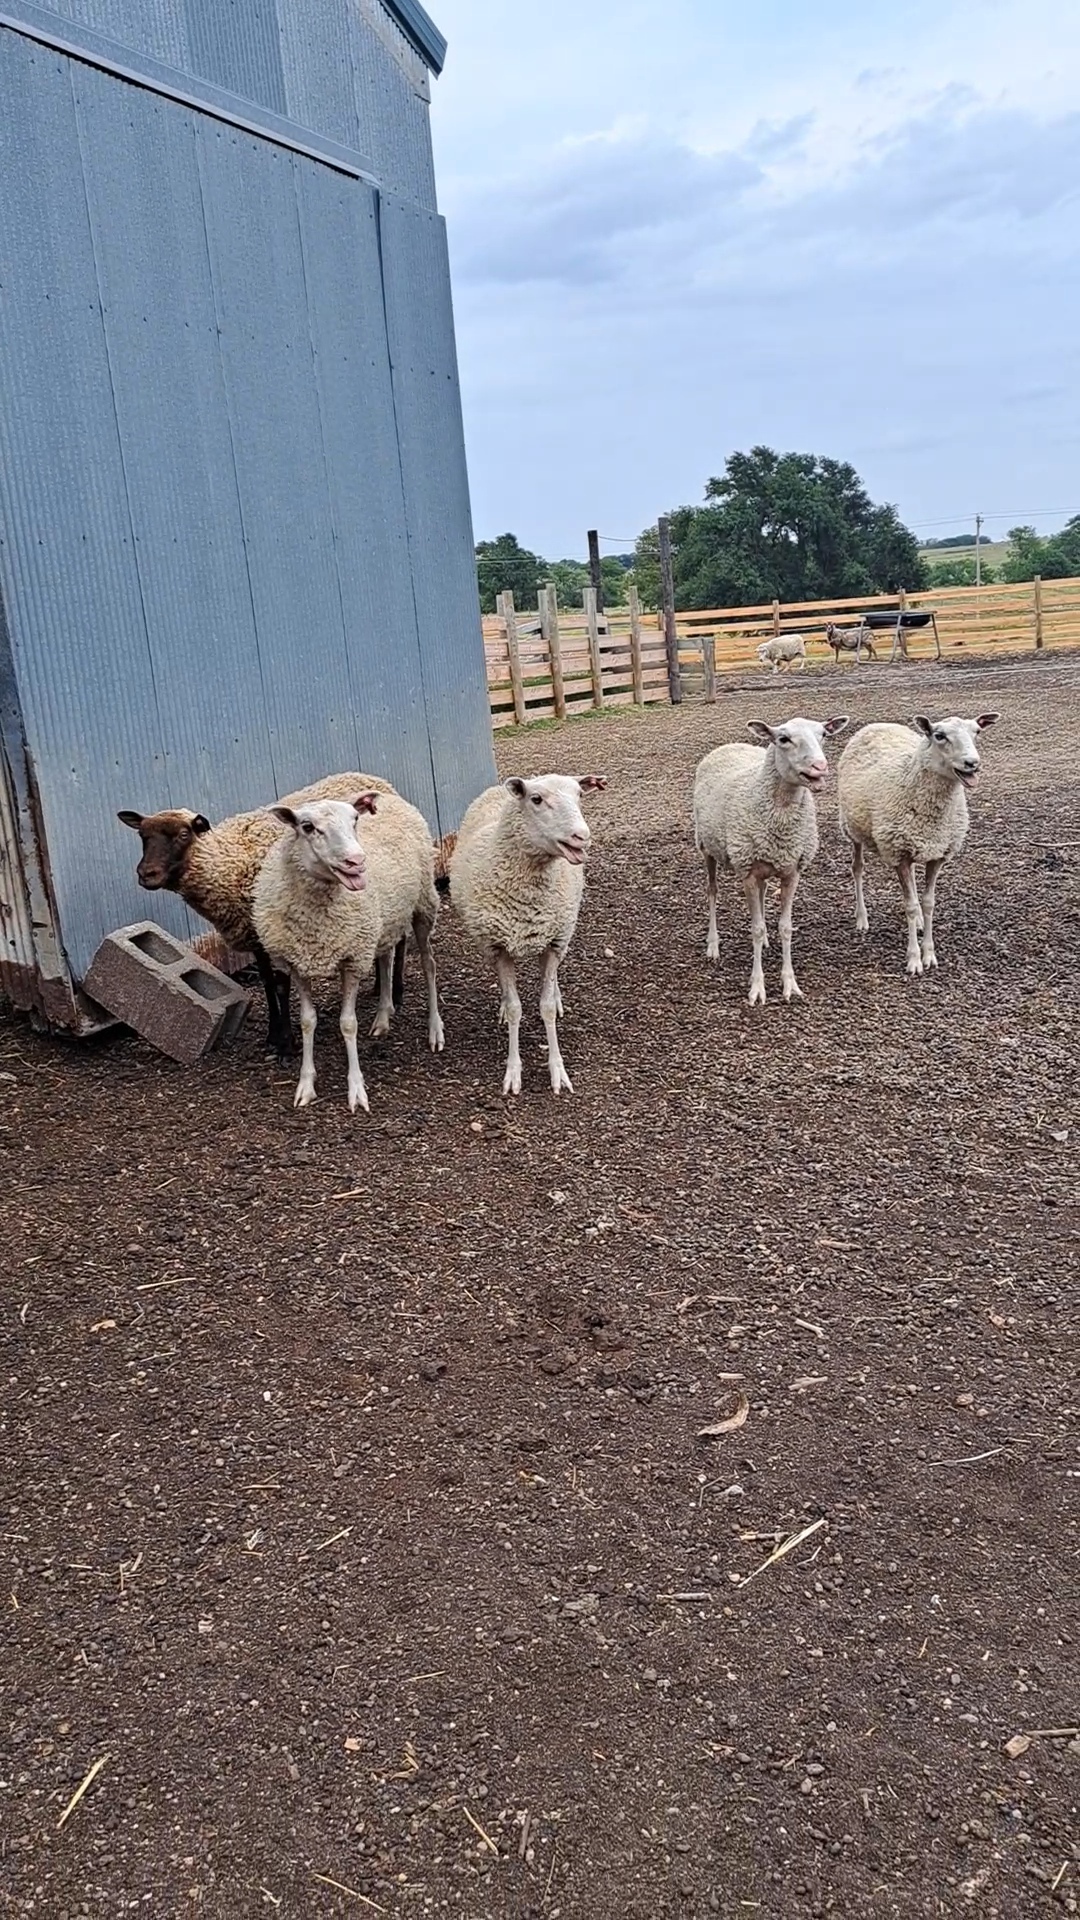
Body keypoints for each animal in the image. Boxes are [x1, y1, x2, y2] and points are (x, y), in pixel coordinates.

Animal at [118, 772, 401, 1058]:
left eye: (183, 834)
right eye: (142, 835)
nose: (146, 874)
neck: (228, 863)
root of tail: (371, 777)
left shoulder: (276, 933)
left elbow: (280, 984)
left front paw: (286, 1043)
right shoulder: (256, 935)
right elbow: (266, 983)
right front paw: (273, 1034)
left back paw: (395, 993)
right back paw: (378, 986)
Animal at [252, 791, 443, 1112]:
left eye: (354, 820)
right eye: (306, 827)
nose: (356, 861)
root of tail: (390, 796)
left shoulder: (352, 959)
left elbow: (348, 1024)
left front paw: (356, 1089)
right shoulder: (298, 964)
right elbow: (307, 1022)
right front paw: (305, 1084)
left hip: (424, 904)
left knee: (429, 964)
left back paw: (435, 1029)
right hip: (383, 922)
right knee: (386, 958)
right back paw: (383, 1016)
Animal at [449, 773, 607, 1097]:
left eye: (579, 795)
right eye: (536, 799)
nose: (581, 836)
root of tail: (499, 786)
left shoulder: (554, 943)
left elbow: (545, 1008)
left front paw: (557, 1070)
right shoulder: (498, 947)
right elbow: (514, 1008)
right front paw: (513, 1071)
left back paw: (557, 996)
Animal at [693, 715, 850, 1004]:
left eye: (823, 734)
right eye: (783, 739)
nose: (820, 767)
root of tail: (730, 745)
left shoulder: (792, 870)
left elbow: (786, 928)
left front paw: (790, 983)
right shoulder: (747, 871)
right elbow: (755, 929)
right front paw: (757, 986)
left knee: (764, 893)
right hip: (706, 846)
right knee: (712, 891)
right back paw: (713, 944)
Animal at [837, 713, 1001, 975]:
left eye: (977, 732)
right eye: (939, 736)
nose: (972, 763)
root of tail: (877, 724)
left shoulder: (938, 854)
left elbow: (928, 902)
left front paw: (929, 953)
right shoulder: (898, 854)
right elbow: (911, 905)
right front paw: (914, 959)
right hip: (853, 829)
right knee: (857, 869)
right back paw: (862, 918)